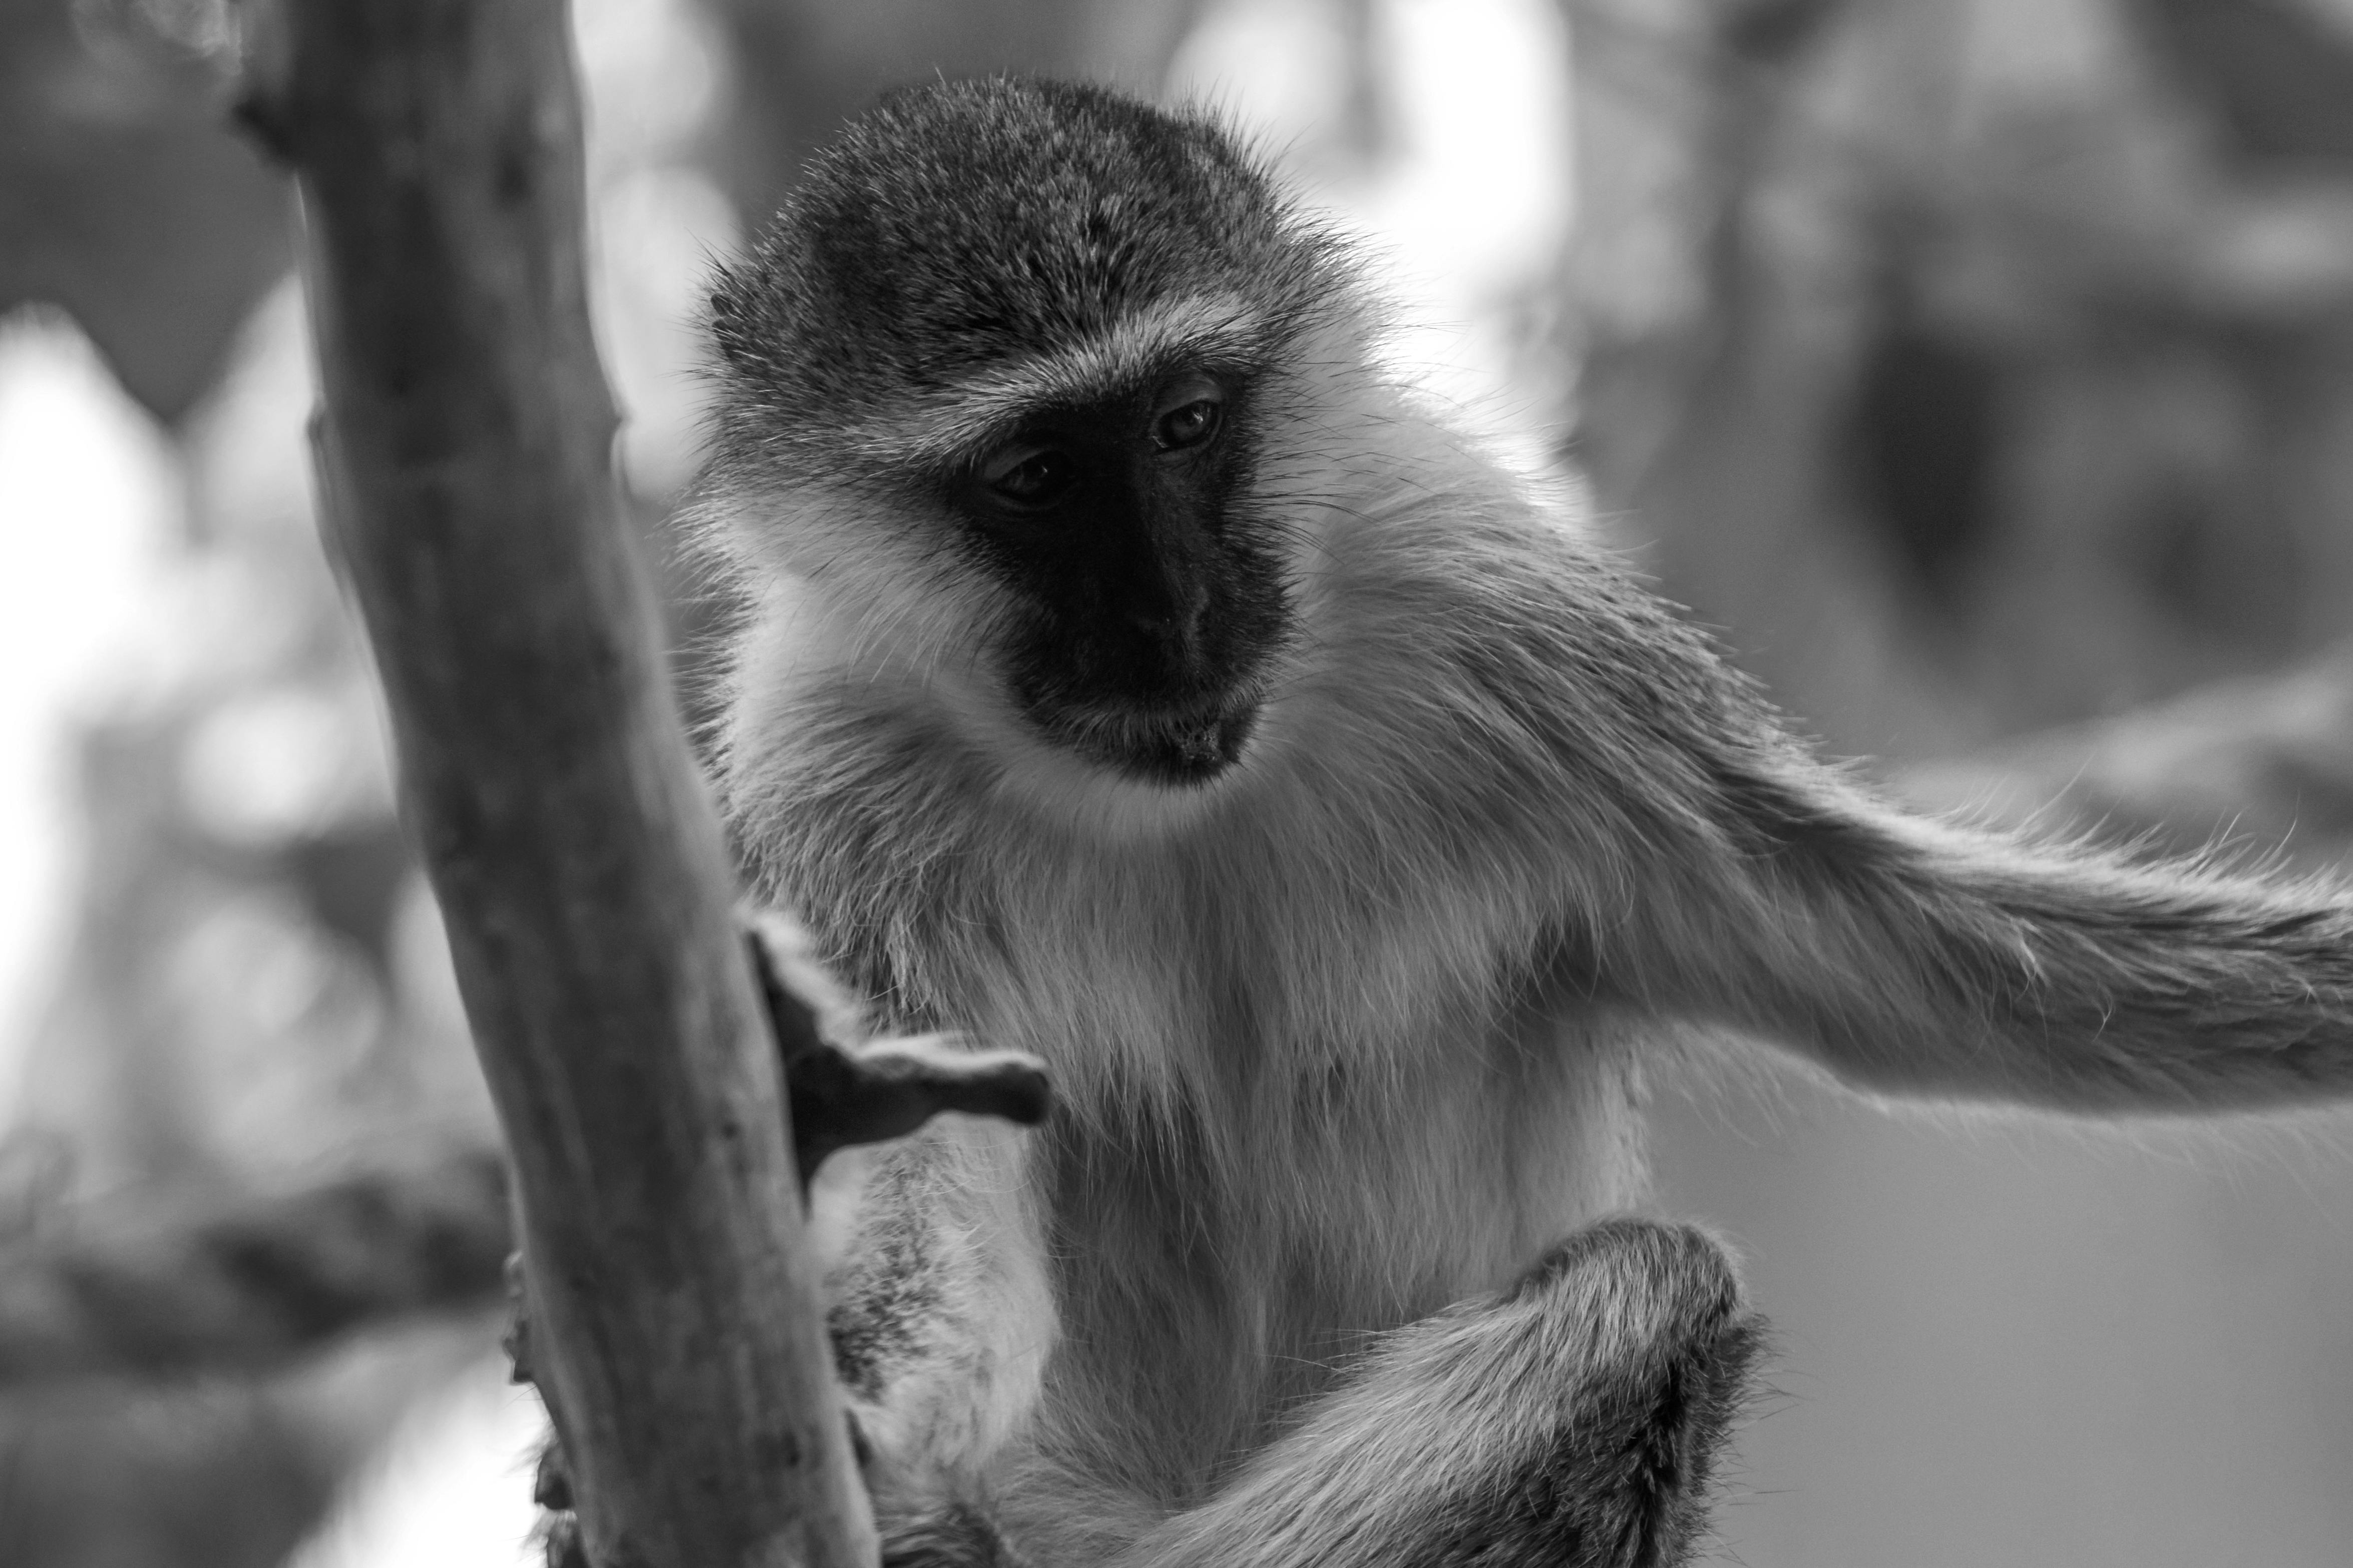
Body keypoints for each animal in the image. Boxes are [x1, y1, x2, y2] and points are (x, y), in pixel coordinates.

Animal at [530, 77, 2353, 1568]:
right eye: (1038, 478)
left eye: (1187, 422)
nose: (1175, 615)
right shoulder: (817, 775)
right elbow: (935, 1198)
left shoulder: (1500, 607)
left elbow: (1920, 958)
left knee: (1650, 1288)